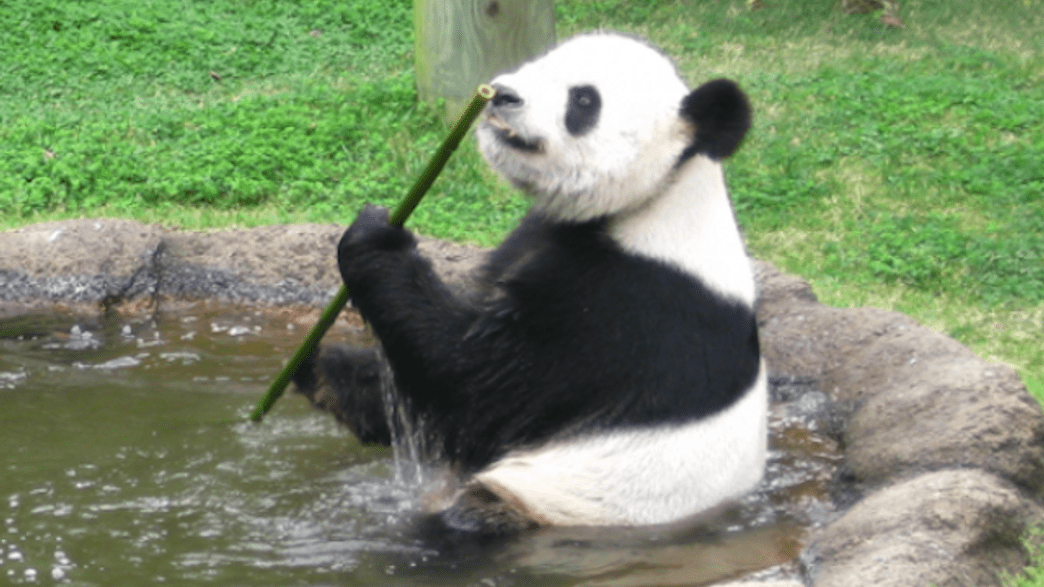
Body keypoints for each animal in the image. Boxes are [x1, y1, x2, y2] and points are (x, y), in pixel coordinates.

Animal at [294, 32, 767, 535]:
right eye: (538, 63)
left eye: (584, 100)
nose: (501, 93)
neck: (662, 198)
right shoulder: (538, 239)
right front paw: (315, 360)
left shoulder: (633, 308)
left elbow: (474, 388)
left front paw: (374, 239)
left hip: (547, 503)